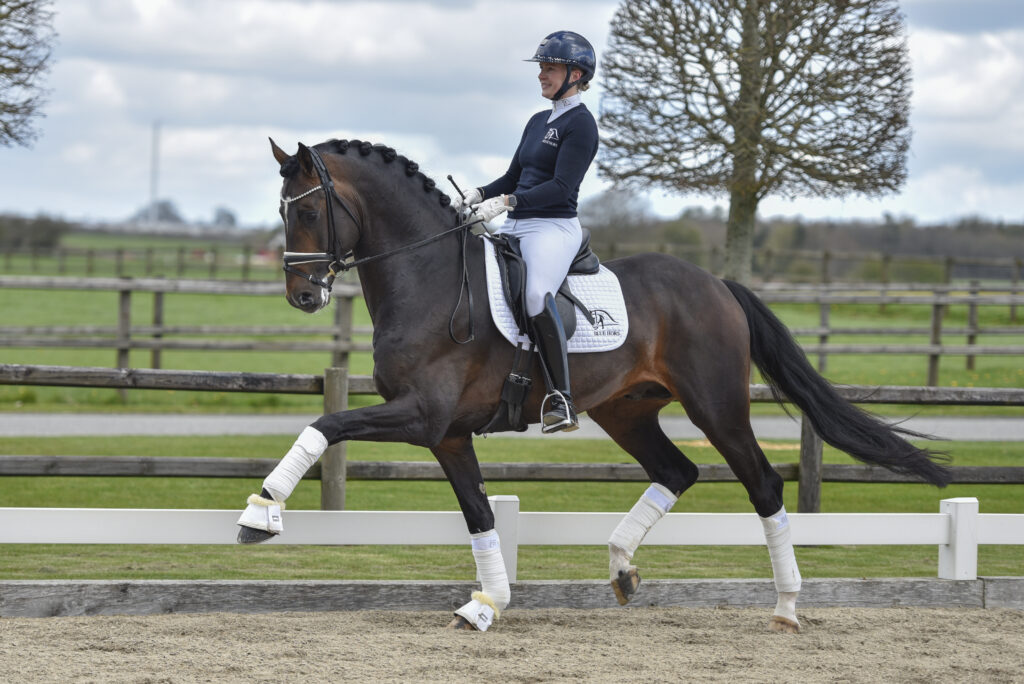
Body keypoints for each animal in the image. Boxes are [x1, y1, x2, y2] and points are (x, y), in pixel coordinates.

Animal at [240, 137, 951, 633]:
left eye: (310, 210)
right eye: (281, 210)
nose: (303, 294)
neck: (430, 278)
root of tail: (717, 285)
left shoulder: (420, 415)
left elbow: (325, 425)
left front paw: (261, 513)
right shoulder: (447, 434)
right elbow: (478, 515)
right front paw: (487, 604)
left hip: (717, 406)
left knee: (765, 486)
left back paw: (786, 607)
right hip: (625, 411)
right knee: (676, 471)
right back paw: (621, 566)